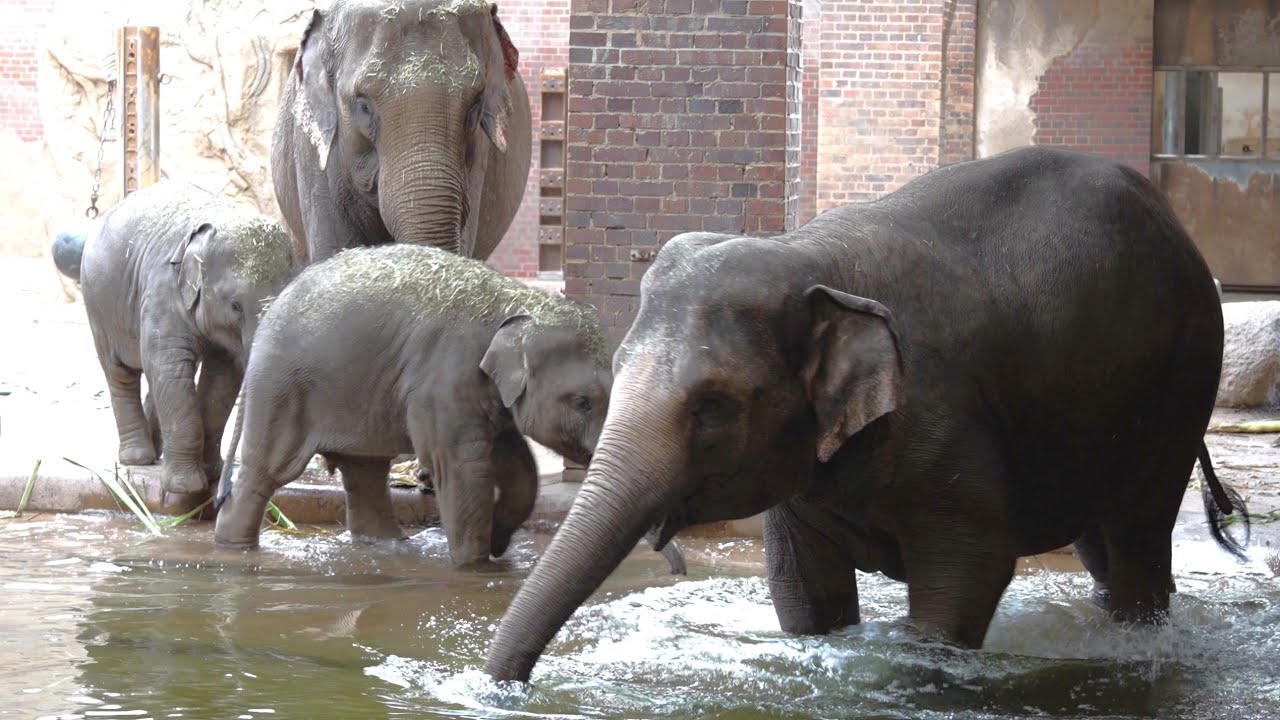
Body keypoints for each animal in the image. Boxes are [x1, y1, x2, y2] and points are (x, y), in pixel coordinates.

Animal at [75, 181, 297, 495]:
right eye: (235, 306)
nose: (224, 493)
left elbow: (222, 380)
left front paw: (211, 473)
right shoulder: (163, 291)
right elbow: (168, 365)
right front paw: (187, 487)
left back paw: (157, 452)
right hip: (97, 303)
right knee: (121, 372)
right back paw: (138, 458)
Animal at [211, 243, 686, 571]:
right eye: (583, 403)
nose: (676, 570)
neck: (517, 300)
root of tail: (271, 309)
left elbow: (519, 467)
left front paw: (498, 540)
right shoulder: (444, 379)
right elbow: (464, 468)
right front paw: (476, 566)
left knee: (365, 473)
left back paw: (388, 548)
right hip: (282, 387)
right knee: (267, 471)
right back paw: (233, 550)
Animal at [483, 146, 1251, 682]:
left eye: (713, 405)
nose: (505, 689)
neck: (809, 256)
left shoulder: (945, 416)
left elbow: (967, 574)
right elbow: (803, 588)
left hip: (1184, 377)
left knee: (1136, 540)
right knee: (1102, 546)